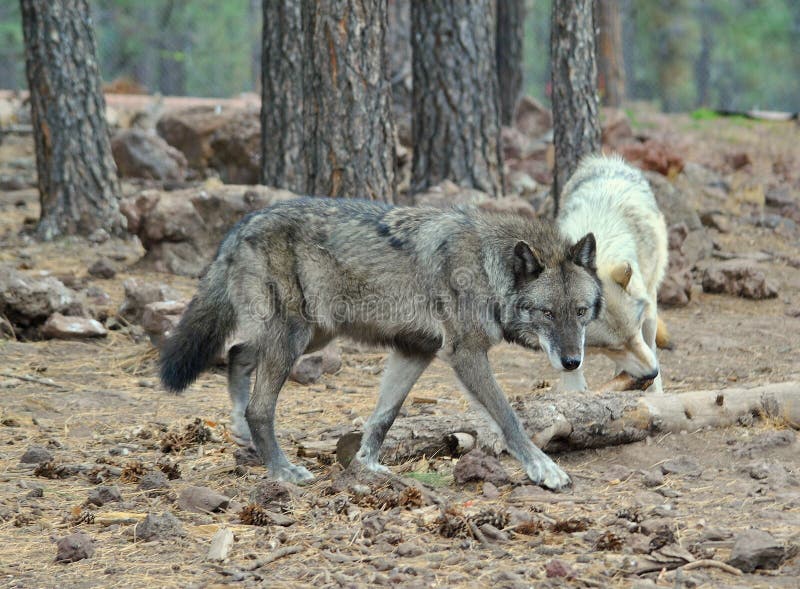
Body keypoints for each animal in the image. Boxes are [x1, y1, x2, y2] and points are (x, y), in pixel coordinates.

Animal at [159, 198, 601, 491]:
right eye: (547, 313)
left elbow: (383, 417)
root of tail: (240, 225)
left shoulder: (414, 351)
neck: (487, 265)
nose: (572, 362)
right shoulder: (465, 353)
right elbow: (509, 418)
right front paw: (544, 469)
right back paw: (282, 471)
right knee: (259, 407)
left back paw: (238, 428)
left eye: (580, 312)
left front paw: (366, 466)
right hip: (294, 339)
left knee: (237, 352)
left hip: (311, 335)